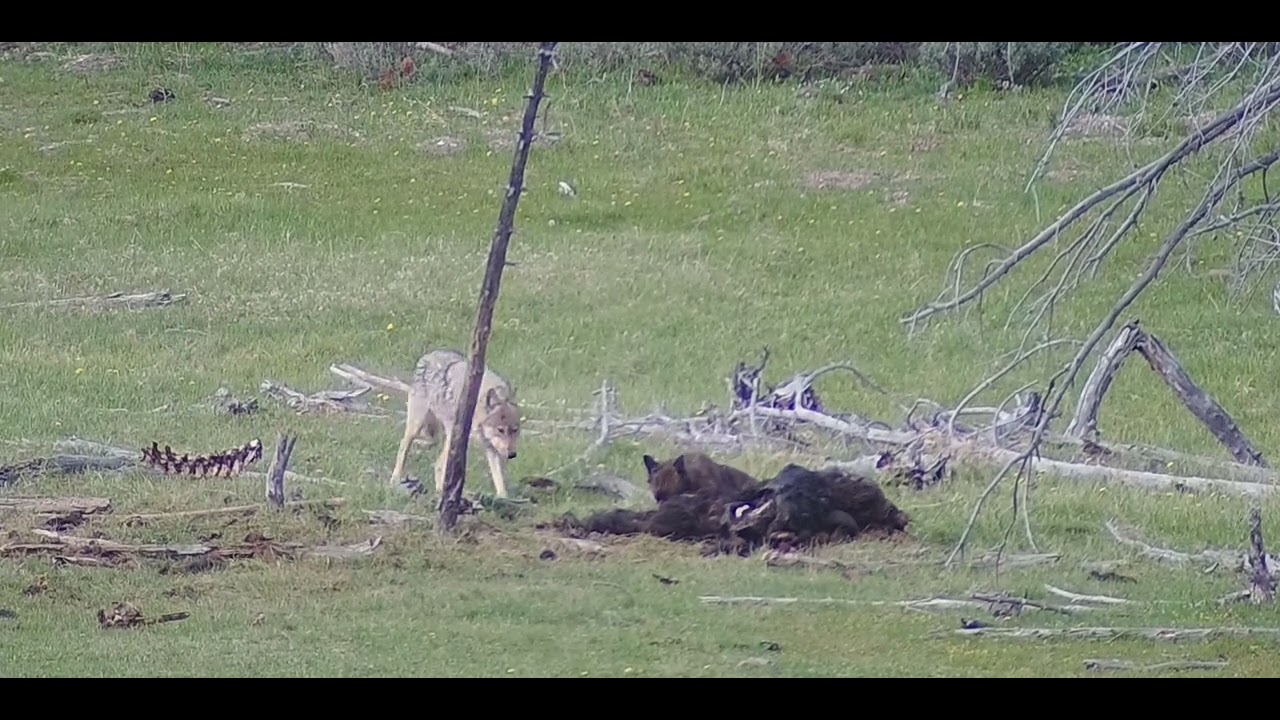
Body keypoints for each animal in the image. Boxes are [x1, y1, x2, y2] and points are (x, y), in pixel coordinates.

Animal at [388, 348, 521, 498]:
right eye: (500, 430)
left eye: (515, 430)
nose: (512, 454)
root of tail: (429, 354)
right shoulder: (457, 437)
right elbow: (440, 466)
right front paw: (442, 493)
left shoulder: (490, 447)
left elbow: (499, 478)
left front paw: (503, 497)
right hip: (418, 425)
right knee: (404, 446)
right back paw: (395, 479)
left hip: (436, 431)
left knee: (431, 442)